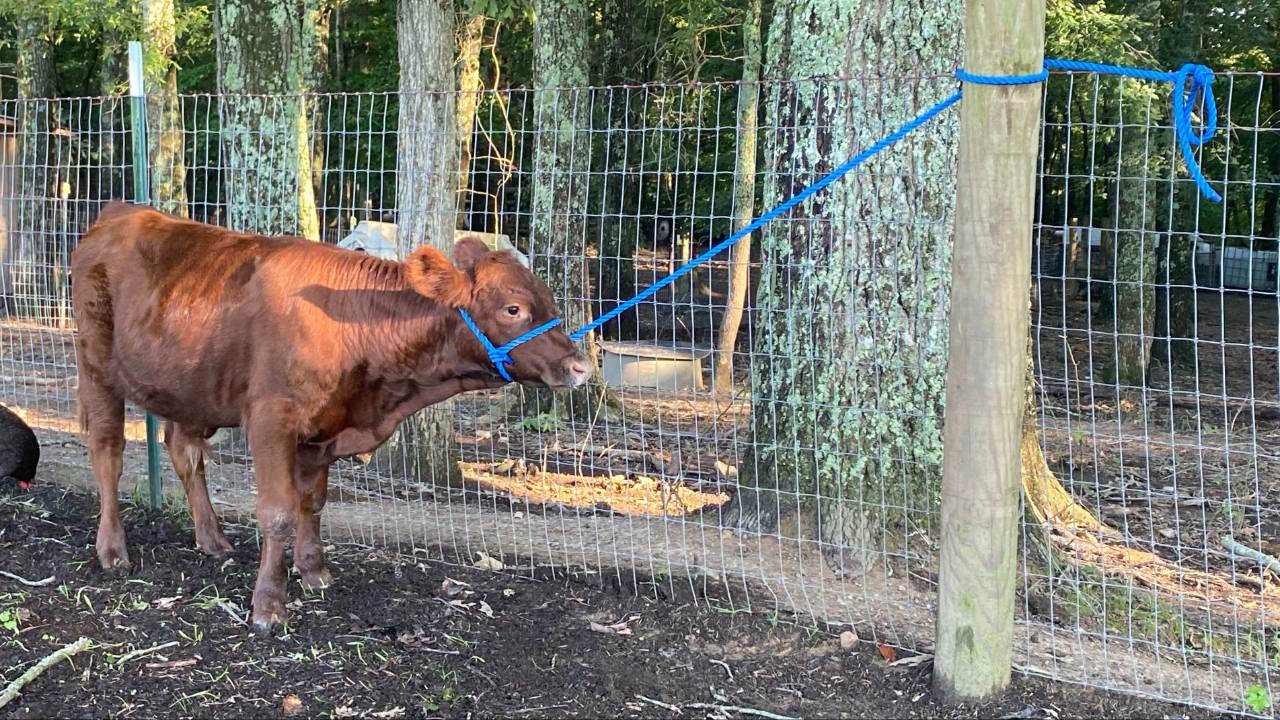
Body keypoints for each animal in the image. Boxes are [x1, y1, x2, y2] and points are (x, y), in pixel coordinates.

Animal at [70, 201, 591, 632]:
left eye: (549, 303)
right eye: (513, 308)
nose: (580, 366)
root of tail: (121, 212)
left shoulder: (325, 429)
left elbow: (312, 503)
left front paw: (314, 570)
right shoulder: (271, 420)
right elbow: (278, 511)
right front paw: (268, 605)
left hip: (190, 386)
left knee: (184, 453)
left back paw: (212, 538)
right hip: (95, 366)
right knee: (108, 453)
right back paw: (112, 549)